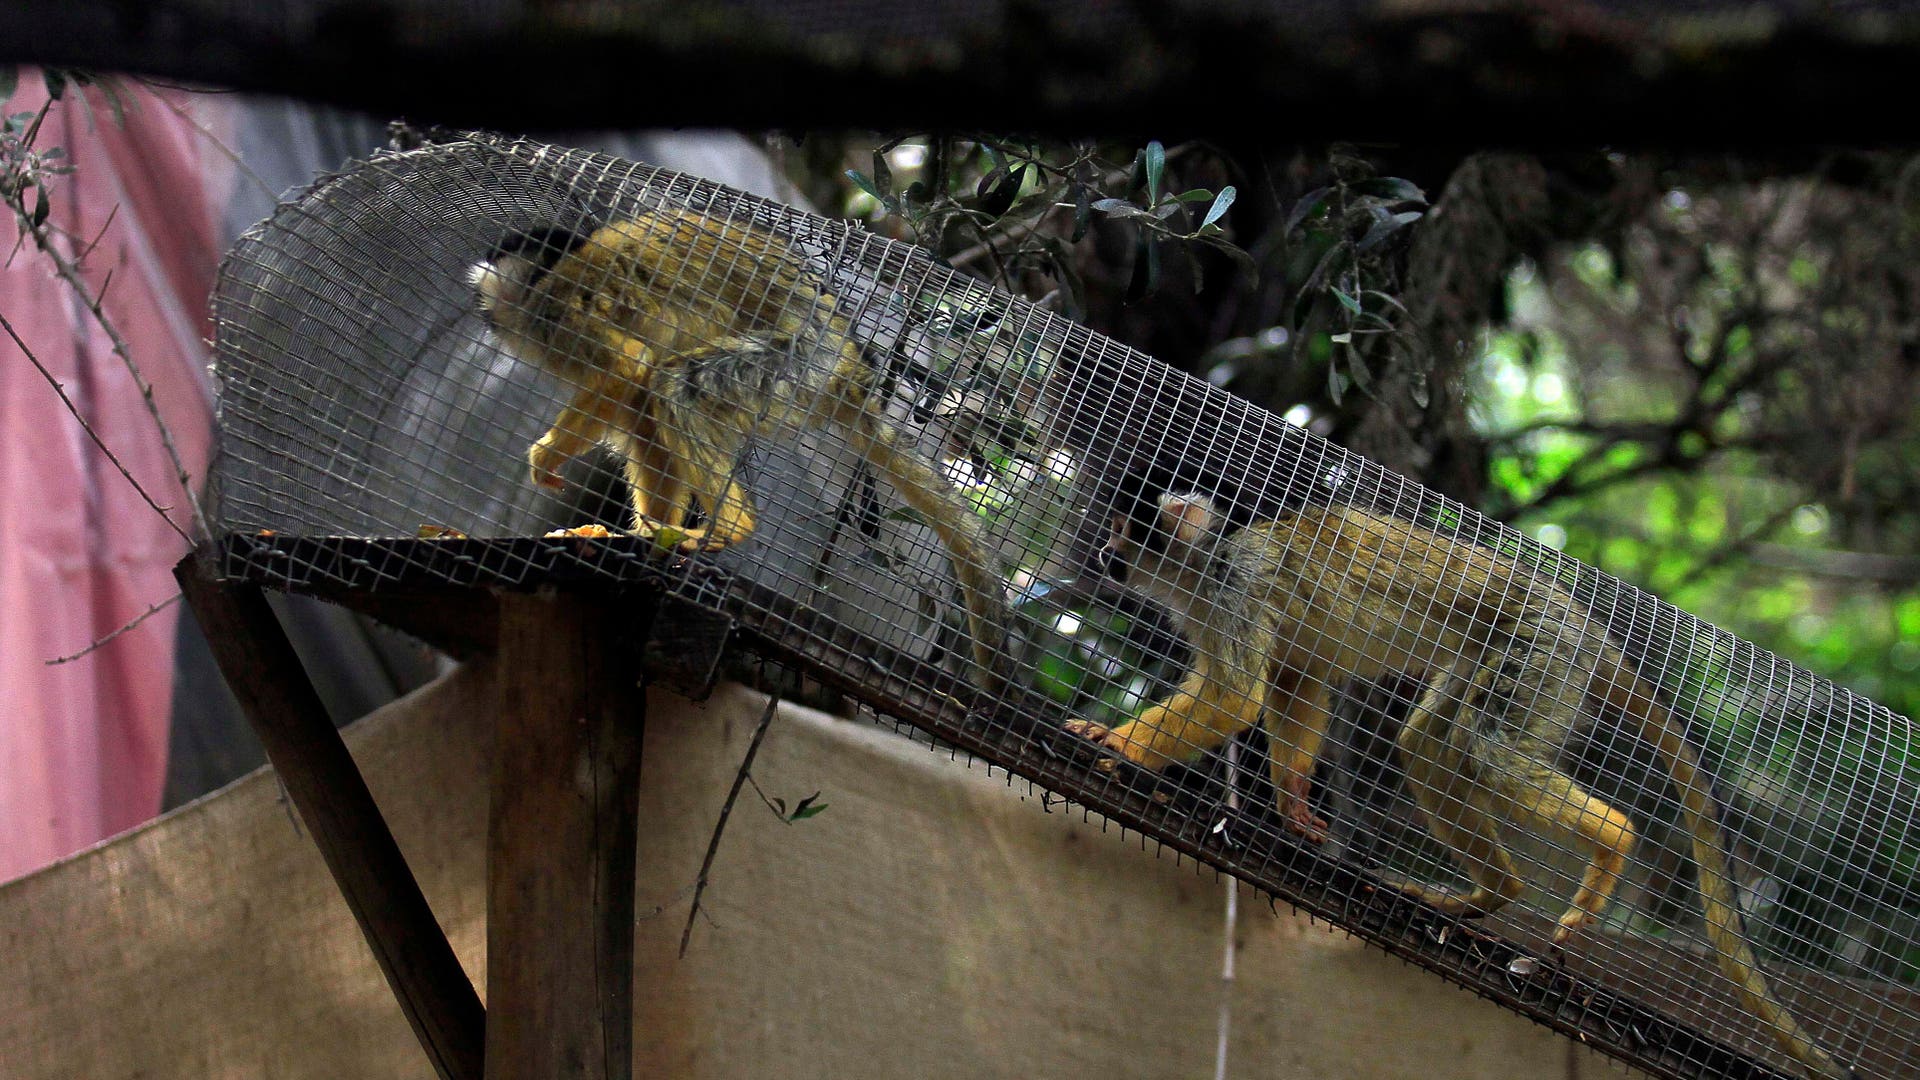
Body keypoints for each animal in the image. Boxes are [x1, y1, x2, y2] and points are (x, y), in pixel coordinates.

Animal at [468, 207, 1007, 690]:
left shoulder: (557, 312)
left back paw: (730, 527)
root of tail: (852, 367)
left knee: (675, 386)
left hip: (798, 366)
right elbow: (637, 409)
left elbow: (629, 367)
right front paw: (644, 534)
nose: (485, 313)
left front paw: (546, 457)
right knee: (657, 398)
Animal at [1067, 490, 1853, 1080]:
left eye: (1124, 529)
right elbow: (1297, 678)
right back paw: (1489, 891)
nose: (1101, 552)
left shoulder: (1235, 590)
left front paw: (1117, 744)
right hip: (1510, 660)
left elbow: (1238, 696)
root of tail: (1589, 625)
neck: (1202, 567)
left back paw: (1612, 842)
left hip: (1538, 653)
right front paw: (1291, 800)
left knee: (1486, 749)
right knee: (1430, 744)